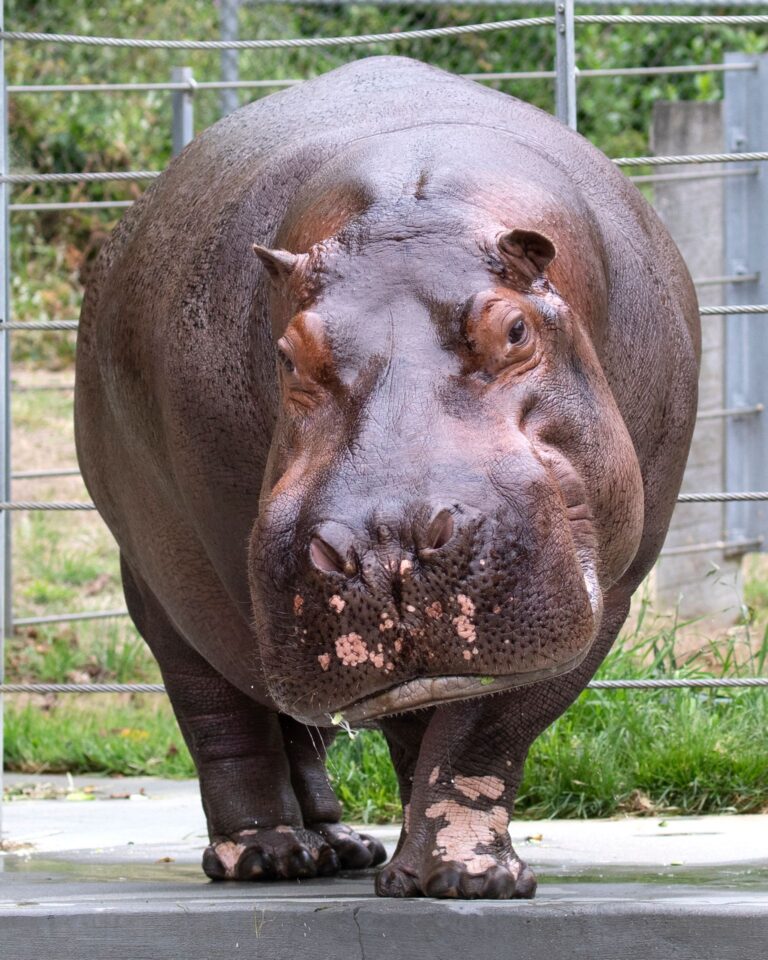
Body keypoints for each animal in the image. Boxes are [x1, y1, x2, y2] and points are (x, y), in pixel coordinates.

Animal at [75, 56, 699, 899]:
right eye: (288, 355)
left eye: (515, 329)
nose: (385, 544)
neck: (417, 201)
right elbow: (413, 725)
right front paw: (442, 870)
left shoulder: (606, 592)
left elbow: (482, 730)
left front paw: (463, 879)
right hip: (166, 586)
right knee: (223, 715)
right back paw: (267, 855)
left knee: (300, 732)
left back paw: (339, 847)